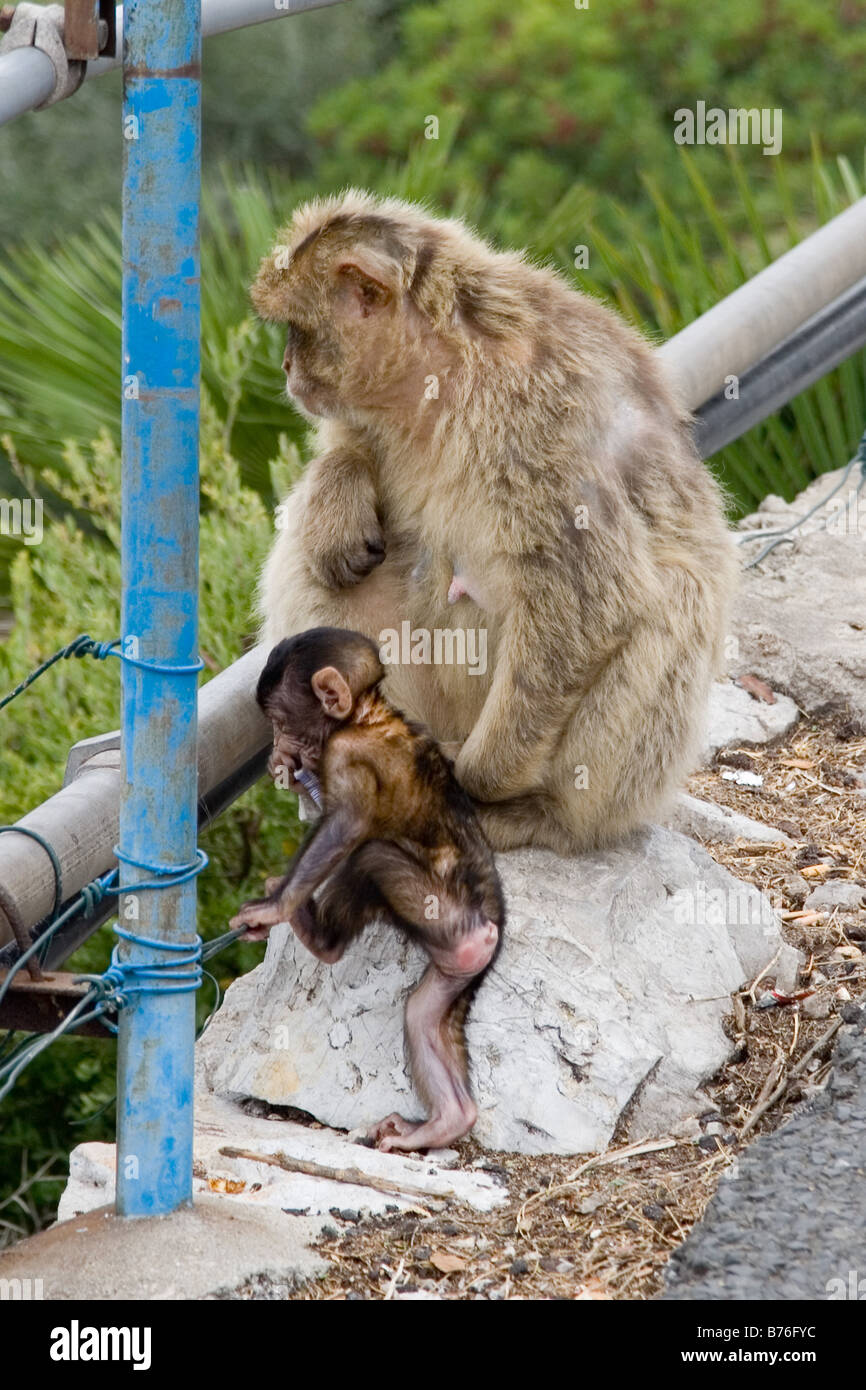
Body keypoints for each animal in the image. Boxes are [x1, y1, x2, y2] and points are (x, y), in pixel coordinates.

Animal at [230, 627, 505, 1154]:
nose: (278, 746)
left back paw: (322, 939)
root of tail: (490, 931)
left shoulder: (347, 755)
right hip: (460, 962)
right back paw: (449, 1120)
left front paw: (275, 908)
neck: (367, 713)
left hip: (447, 916)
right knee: (423, 1014)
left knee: (368, 857)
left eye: (280, 721)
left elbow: (346, 826)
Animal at [250, 191, 739, 857]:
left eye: (298, 331)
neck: (444, 374)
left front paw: (479, 777)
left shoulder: (537, 419)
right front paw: (340, 495)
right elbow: (350, 450)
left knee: (678, 593)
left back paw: (540, 813)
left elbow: (588, 605)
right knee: (318, 564)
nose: (285, 365)